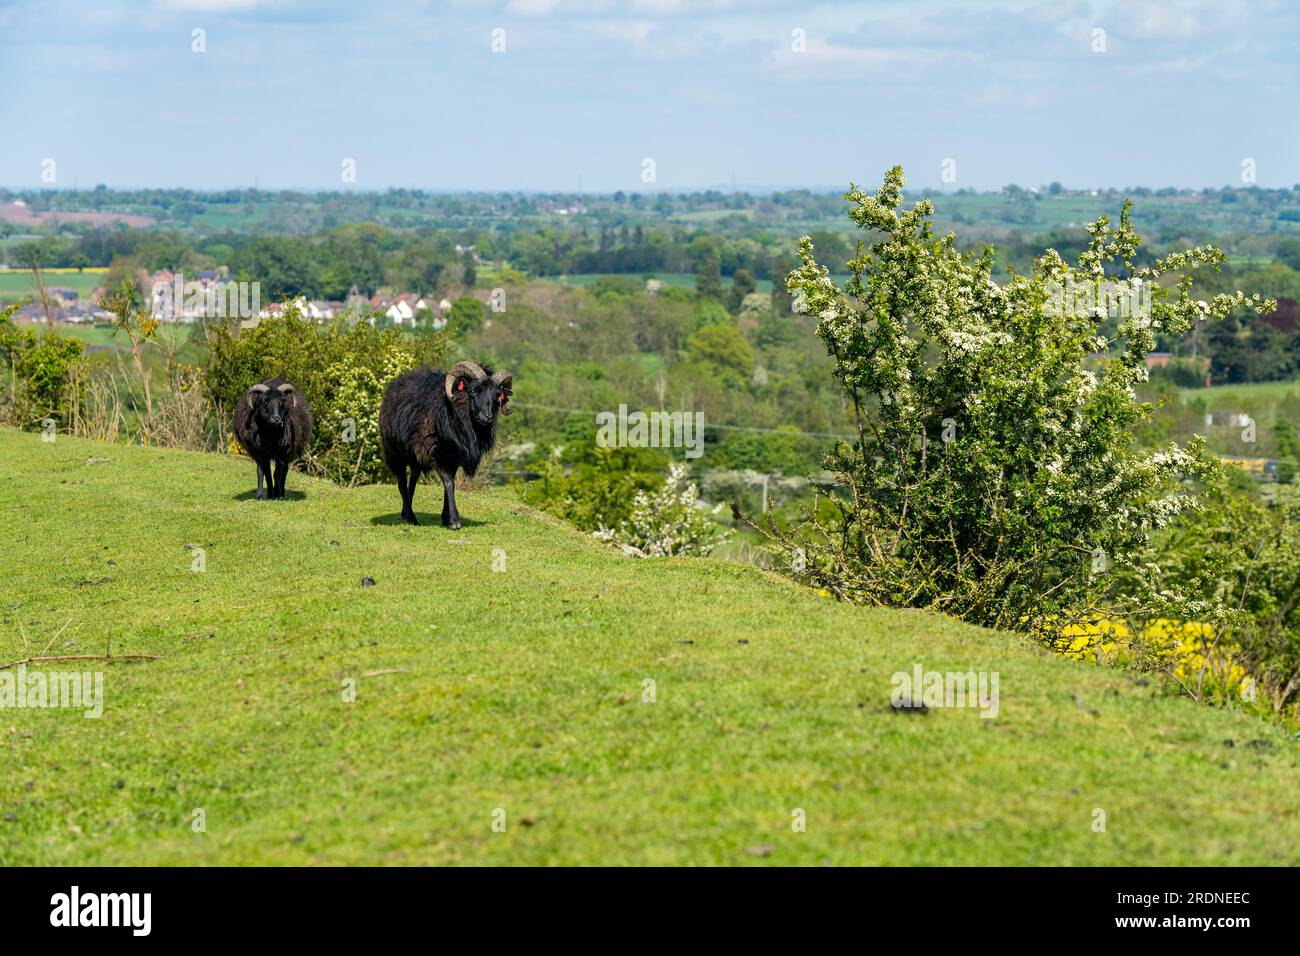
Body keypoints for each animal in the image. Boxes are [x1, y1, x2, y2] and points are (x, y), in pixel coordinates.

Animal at [379, 360, 513, 528]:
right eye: (474, 391)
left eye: (497, 395)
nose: (487, 417)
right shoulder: (437, 454)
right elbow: (448, 482)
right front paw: (454, 520)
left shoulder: (454, 456)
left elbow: (451, 484)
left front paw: (445, 517)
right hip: (394, 453)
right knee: (401, 482)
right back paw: (411, 517)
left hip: (415, 456)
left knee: (413, 479)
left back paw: (405, 513)